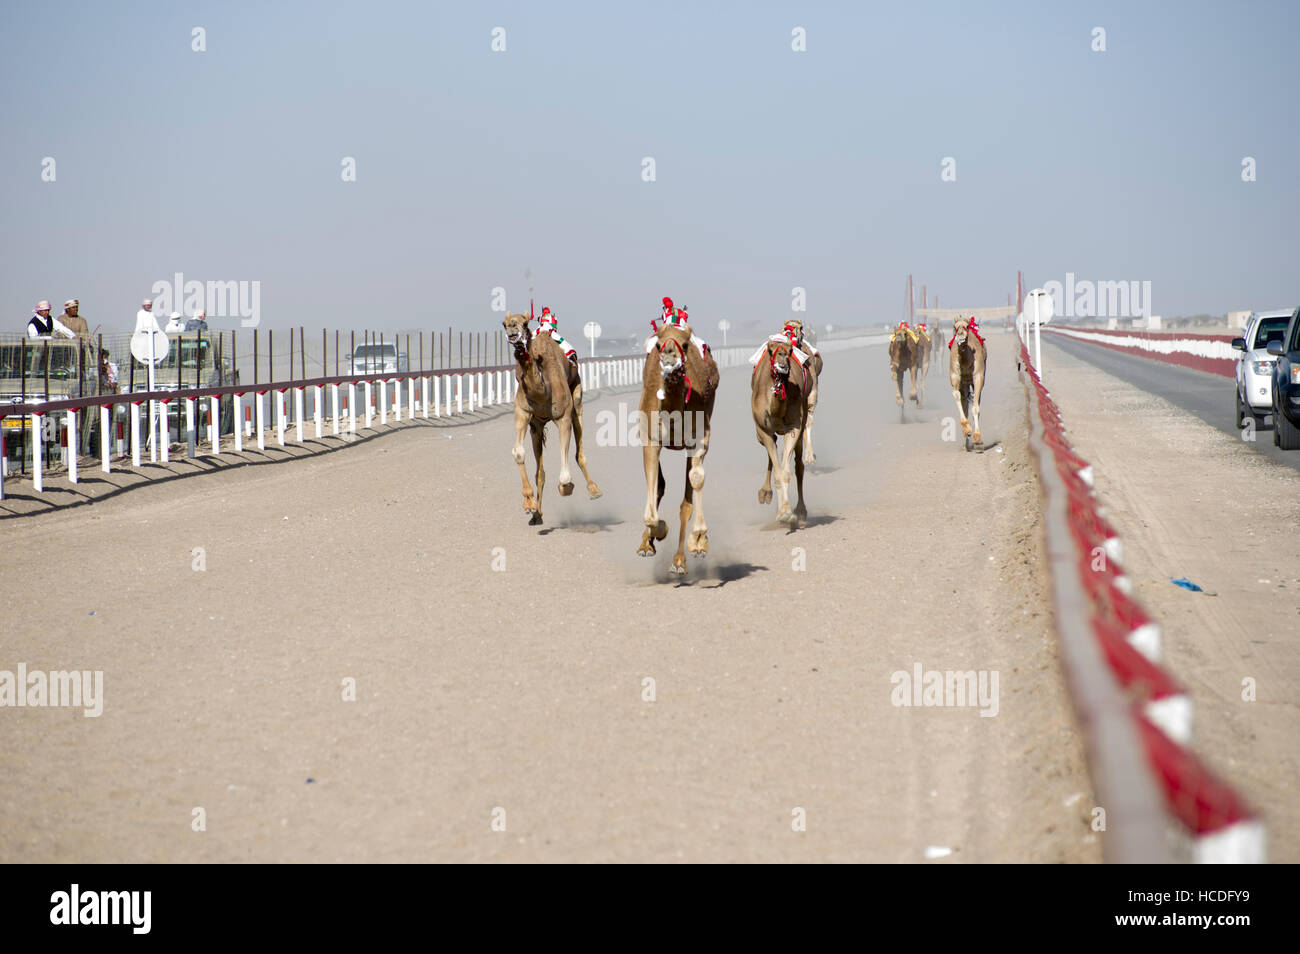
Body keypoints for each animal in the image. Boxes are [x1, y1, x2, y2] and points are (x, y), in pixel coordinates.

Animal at [503, 312, 601, 525]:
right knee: (540, 471)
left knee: (579, 452)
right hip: (537, 428)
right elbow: (518, 453)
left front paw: (566, 488)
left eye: (525, 323)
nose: (513, 329)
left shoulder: (563, 417)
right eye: (504, 324)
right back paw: (537, 515)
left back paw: (594, 489)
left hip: (577, 403)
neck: (542, 391)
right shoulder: (523, 413)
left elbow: (564, 476)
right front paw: (529, 503)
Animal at [636, 321, 720, 574]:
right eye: (658, 344)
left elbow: (696, 482)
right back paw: (646, 544)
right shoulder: (650, 439)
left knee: (686, 499)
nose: (669, 354)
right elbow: (653, 487)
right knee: (660, 486)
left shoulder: (700, 439)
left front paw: (699, 541)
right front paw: (658, 531)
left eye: (684, 344)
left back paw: (679, 561)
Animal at [753, 337, 811, 527]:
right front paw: (782, 512)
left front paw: (787, 513)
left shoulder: (794, 427)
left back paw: (801, 511)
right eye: (771, 350)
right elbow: (778, 472)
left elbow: (785, 472)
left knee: (799, 466)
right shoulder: (763, 430)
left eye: (790, 350)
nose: (782, 358)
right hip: (761, 434)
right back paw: (765, 493)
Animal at [948, 315, 987, 450]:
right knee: (965, 402)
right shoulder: (955, 376)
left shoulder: (978, 377)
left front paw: (977, 438)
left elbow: (975, 408)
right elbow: (957, 396)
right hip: (964, 384)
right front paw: (966, 428)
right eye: (954, 326)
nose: (960, 336)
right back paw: (966, 442)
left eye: (967, 326)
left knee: (976, 402)